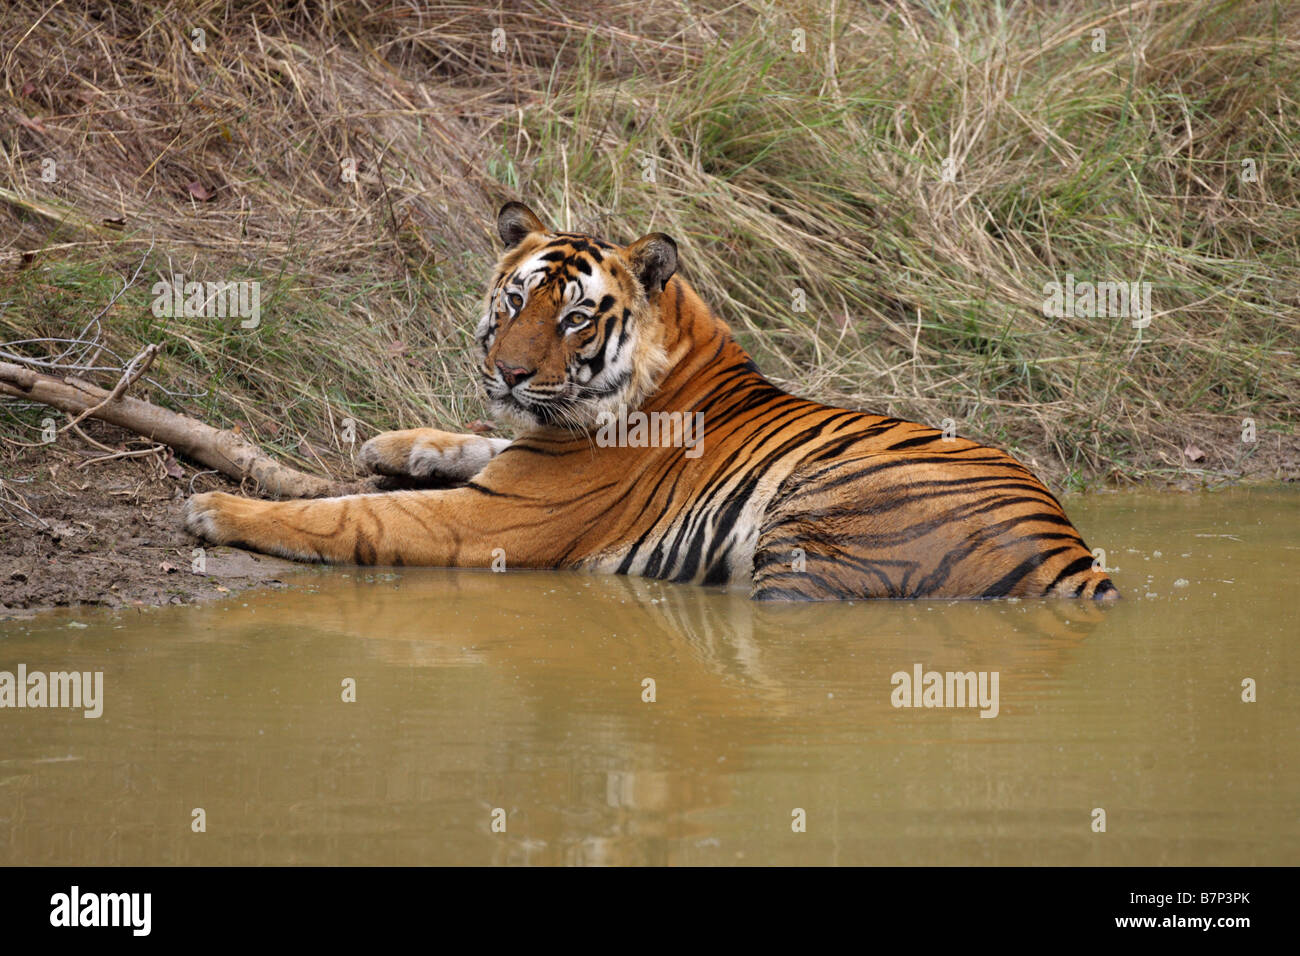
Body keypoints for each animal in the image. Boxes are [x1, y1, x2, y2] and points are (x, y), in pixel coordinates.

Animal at [185, 201, 1119, 601]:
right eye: (514, 301)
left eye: (573, 318)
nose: (509, 374)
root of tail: (1073, 548)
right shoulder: (525, 453)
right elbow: (470, 438)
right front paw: (388, 442)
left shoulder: (493, 518)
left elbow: (346, 517)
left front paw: (217, 509)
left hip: (813, 537)